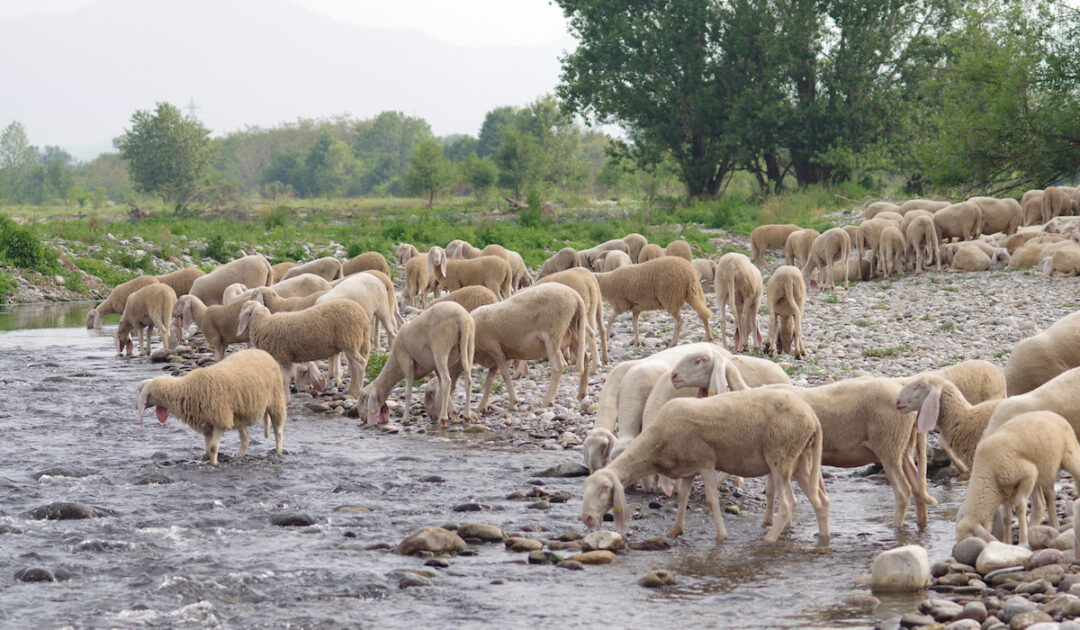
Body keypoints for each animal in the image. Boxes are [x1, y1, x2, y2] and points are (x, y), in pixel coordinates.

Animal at [136, 348, 287, 466]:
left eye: (141, 391)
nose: (136, 407)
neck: (187, 389)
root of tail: (261, 351)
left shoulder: (220, 420)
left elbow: (213, 448)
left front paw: (214, 465)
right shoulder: (206, 425)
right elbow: (208, 451)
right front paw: (209, 461)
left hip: (276, 401)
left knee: (278, 432)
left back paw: (278, 452)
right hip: (239, 413)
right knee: (245, 439)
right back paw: (240, 456)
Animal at [238, 298, 371, 398]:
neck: (263, 324)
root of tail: (363, 316)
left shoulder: (283, 357)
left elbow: (284, 380)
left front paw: (286, 400)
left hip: (349, 340)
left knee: (359, 364)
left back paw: (355, 392)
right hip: (354, 343)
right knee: (356, 366)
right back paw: (352, 390)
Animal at [469, 283, 588, 412]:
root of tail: (575, 296)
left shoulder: (495, 349)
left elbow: (504, 374)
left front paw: (513, 403)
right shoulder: (496, 357)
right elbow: (489, 380)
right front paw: (481, 406)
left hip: (553, 334)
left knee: (558, 366)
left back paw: (547, 401)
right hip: (572, 329)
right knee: (585, 356)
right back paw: (582, 394)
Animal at [581, 388, 828, 543]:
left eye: (605, 489)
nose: (587, 519)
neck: (657, 443)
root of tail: (812, 418)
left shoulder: (706, 462)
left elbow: (711, 499)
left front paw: (721, 536)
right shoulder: (688, 468)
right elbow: (682, 497)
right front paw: (675, 531)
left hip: (781, 456)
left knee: (788, 502)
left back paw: (769, 539)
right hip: (801, 459)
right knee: (821, 501)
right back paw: (824, 536)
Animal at [956, 410, 1080, 549]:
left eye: (971, 537)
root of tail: (1052, 414)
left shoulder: (1029, 473)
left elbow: (1020, 505)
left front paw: (1023, 542)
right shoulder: (1004, 491)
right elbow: (1006, 518)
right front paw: (1007, 542)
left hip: (1070, 455)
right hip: (1042, 473)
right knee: (1043, 501)